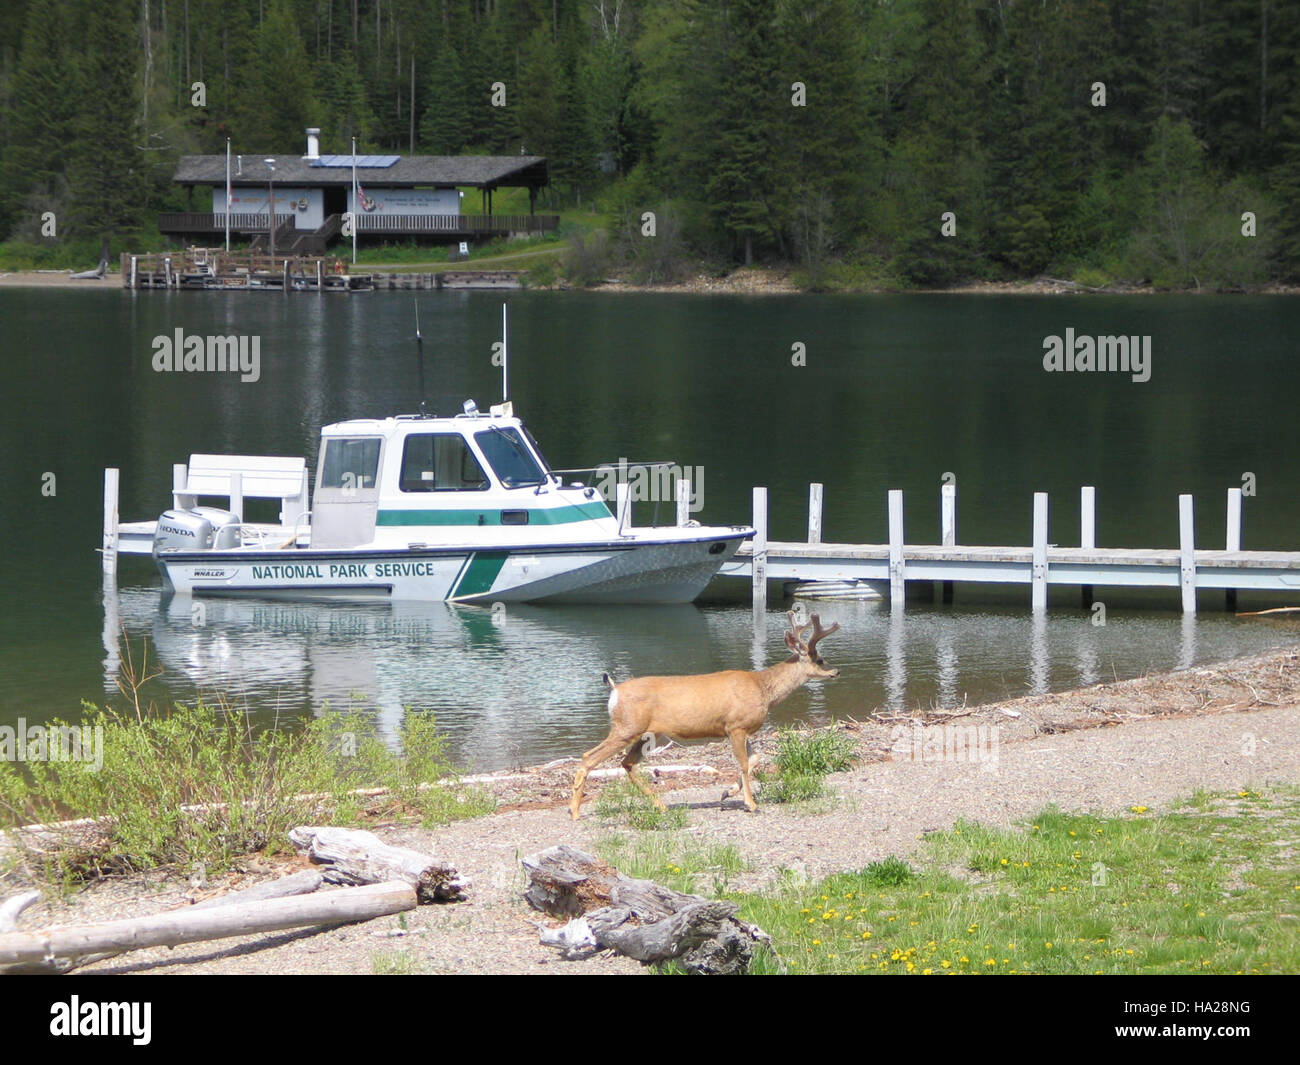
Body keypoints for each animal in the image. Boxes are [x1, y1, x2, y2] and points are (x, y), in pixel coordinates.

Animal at [569, 611, 840, 819]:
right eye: (819, 659)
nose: (835, 672)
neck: (763, 689)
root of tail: (614, 690)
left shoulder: (740, 729)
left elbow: (755, 758)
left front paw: (727, 792)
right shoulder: (735, 725)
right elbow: (744, 763)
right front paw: (750, 803)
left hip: (645, 733)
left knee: (627, 763)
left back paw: (661, 806)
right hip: (627, 727)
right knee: (588, 758)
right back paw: (574, 811)